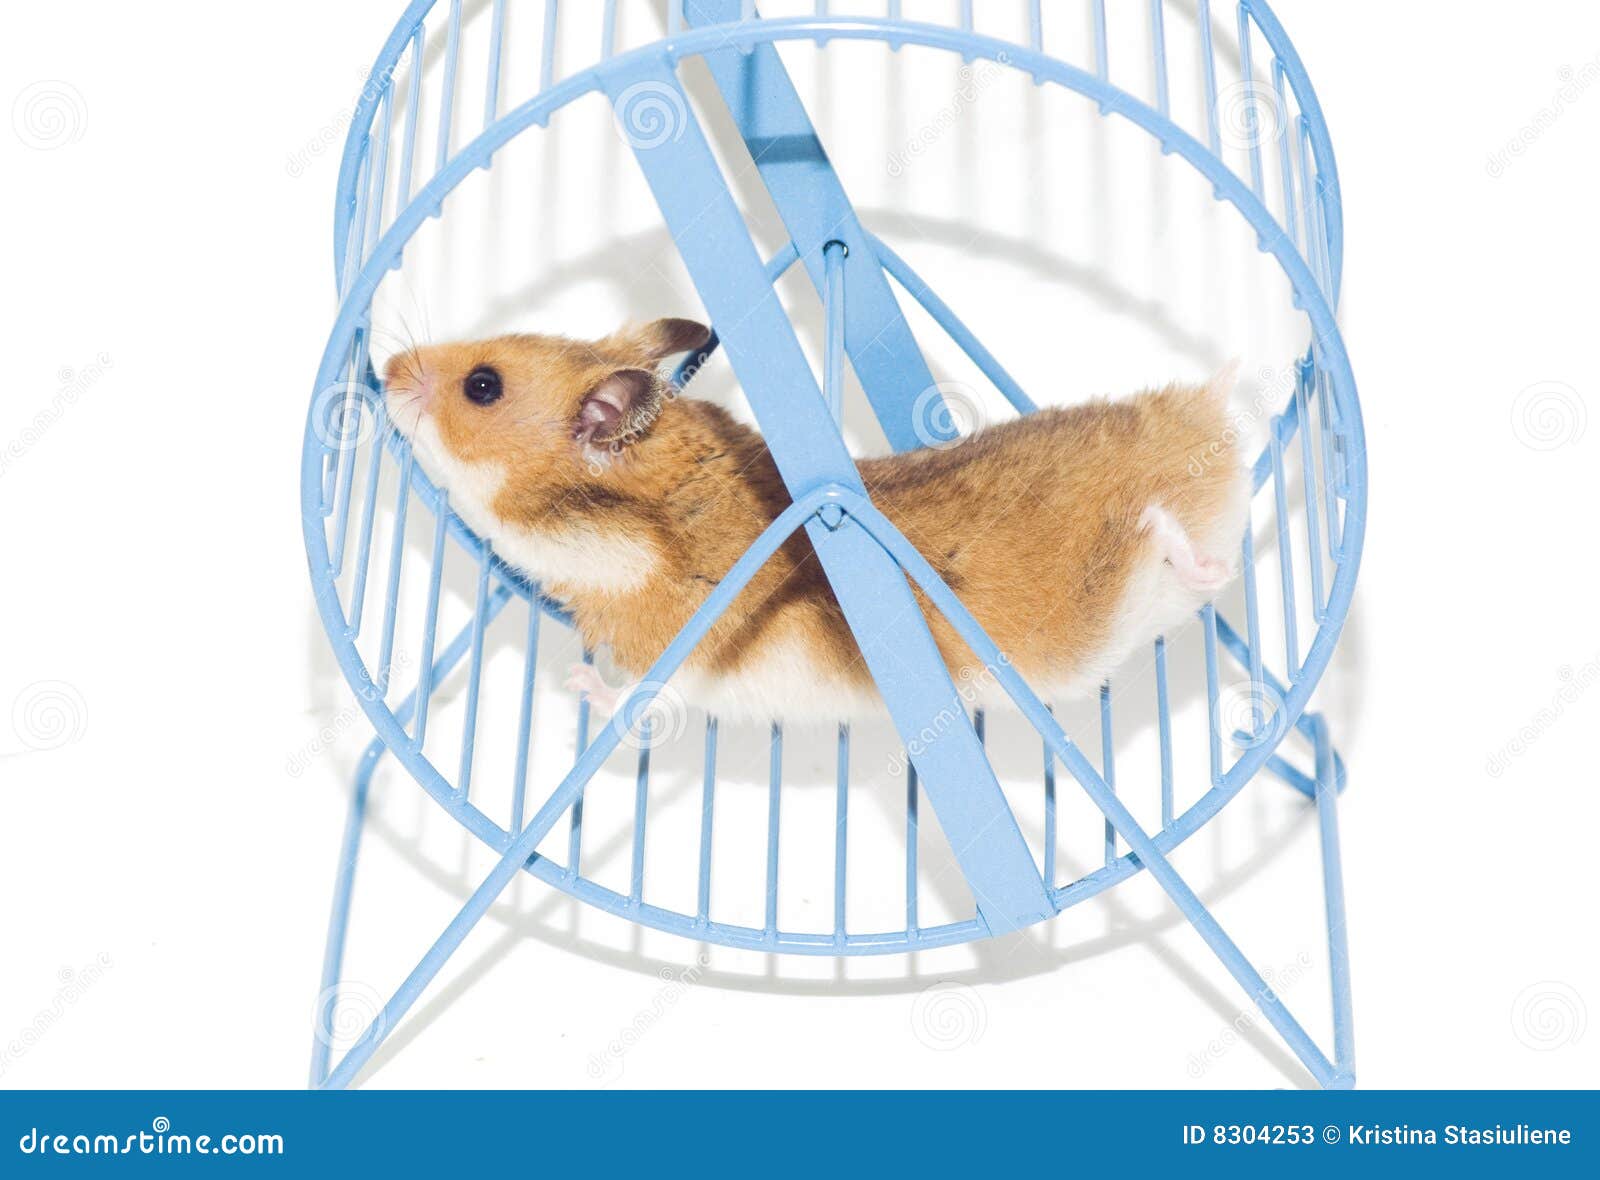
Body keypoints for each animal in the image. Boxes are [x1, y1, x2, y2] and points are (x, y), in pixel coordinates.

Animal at [381, 319, 1252, 723]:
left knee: (1156, 522)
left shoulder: (685, 654)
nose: (380, 367)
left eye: (483, 386)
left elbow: (641, 704)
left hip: (1093, 605)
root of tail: (1202, 423)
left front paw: (580, 686)